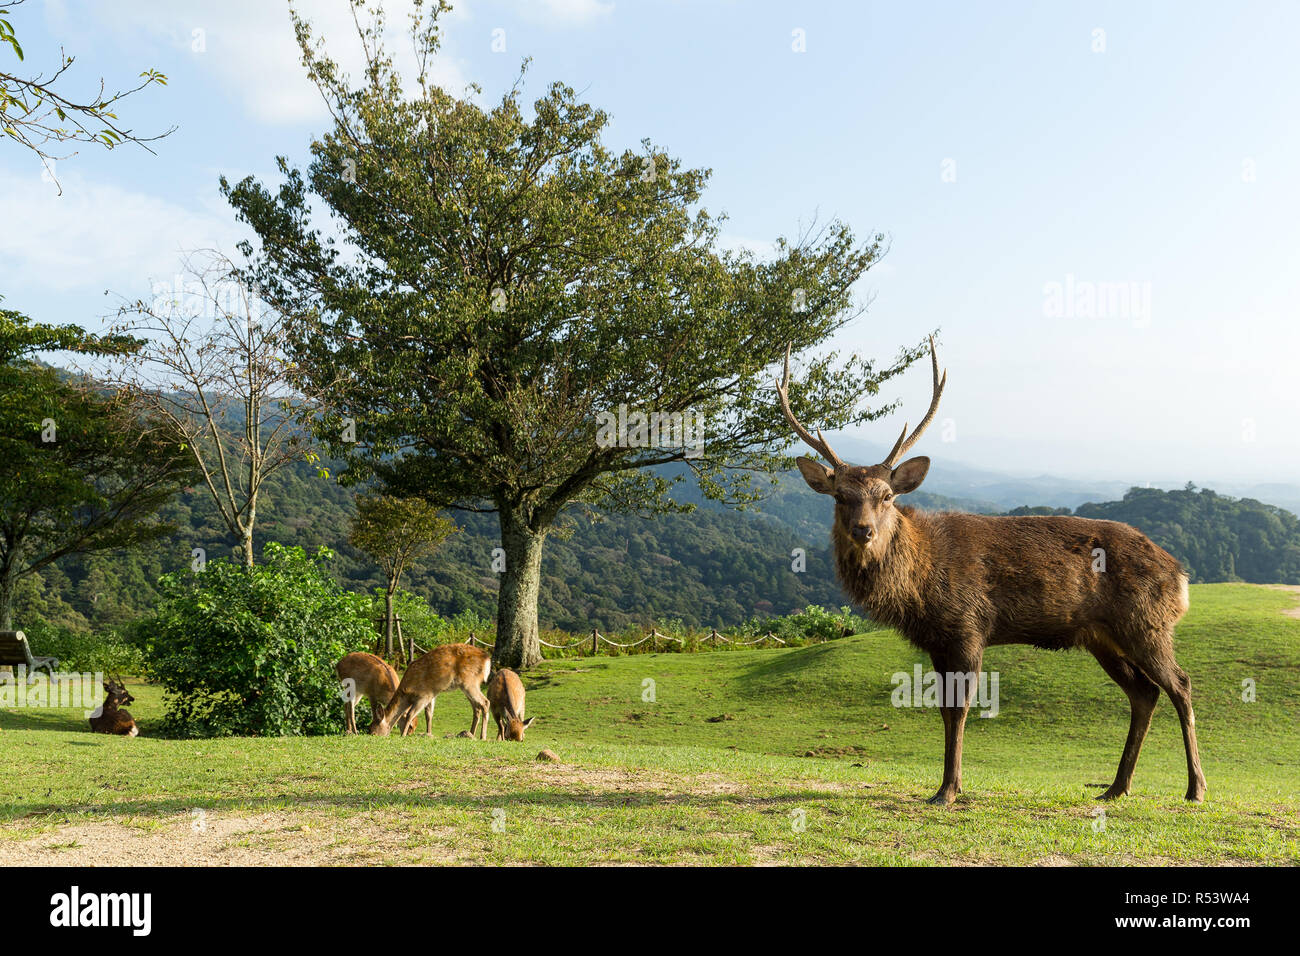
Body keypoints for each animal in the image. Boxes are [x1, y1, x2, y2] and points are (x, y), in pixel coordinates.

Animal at [777, 337, 1206, 806]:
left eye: (887, 495)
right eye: (840, 496)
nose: (863, 530)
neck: (920, 586)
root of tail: (1181, 575)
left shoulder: (969, 626)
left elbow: (961, 707)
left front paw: (948, 789)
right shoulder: (938, 640)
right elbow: (944, 709)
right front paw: (947, 784)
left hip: (1146, 622)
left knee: (1180, 684)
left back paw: (1195, 788)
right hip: (1102, 636)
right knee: (1144, 693)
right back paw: (1116, 787)